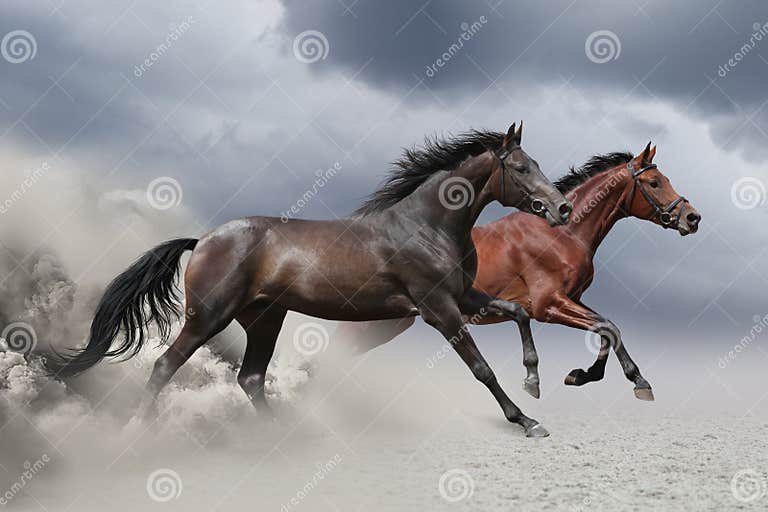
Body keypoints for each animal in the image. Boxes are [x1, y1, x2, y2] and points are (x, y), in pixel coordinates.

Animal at [52, 123, 573, 437]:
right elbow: (481, 368)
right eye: (521, 167)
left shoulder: (464, 296)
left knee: (251, 377)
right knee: (166, 366)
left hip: (264, 318)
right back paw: (137, 433)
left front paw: (533, 381)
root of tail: (202, 240)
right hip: (209, 317)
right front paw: (528, 420)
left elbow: (520, 313)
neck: (426, 225)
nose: (562, 208)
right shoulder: (439, 308)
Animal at [335, 143, 701, 401]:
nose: (692, 218)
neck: (562, 233)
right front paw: (638, 381)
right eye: (654, 183)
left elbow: (607, 327)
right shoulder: (547, 305)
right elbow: (607, 327)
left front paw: (582, 375)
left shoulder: (571, 299)